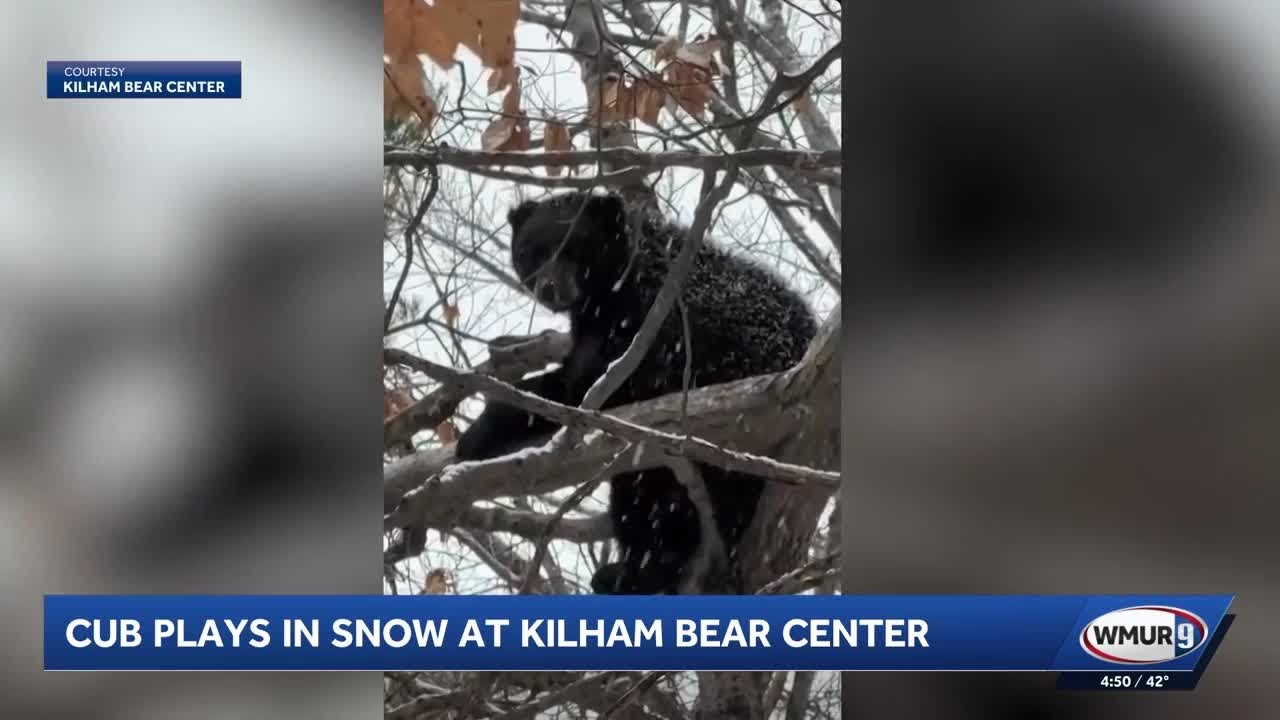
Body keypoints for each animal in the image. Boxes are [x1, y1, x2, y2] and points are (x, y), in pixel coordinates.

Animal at [455, 189, 819, 594]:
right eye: (529, 251)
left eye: (574, 247)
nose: (550, 288)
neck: (613, 286)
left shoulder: (652, 320)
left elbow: (584, 385)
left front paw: (478, 433)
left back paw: (633, 573)